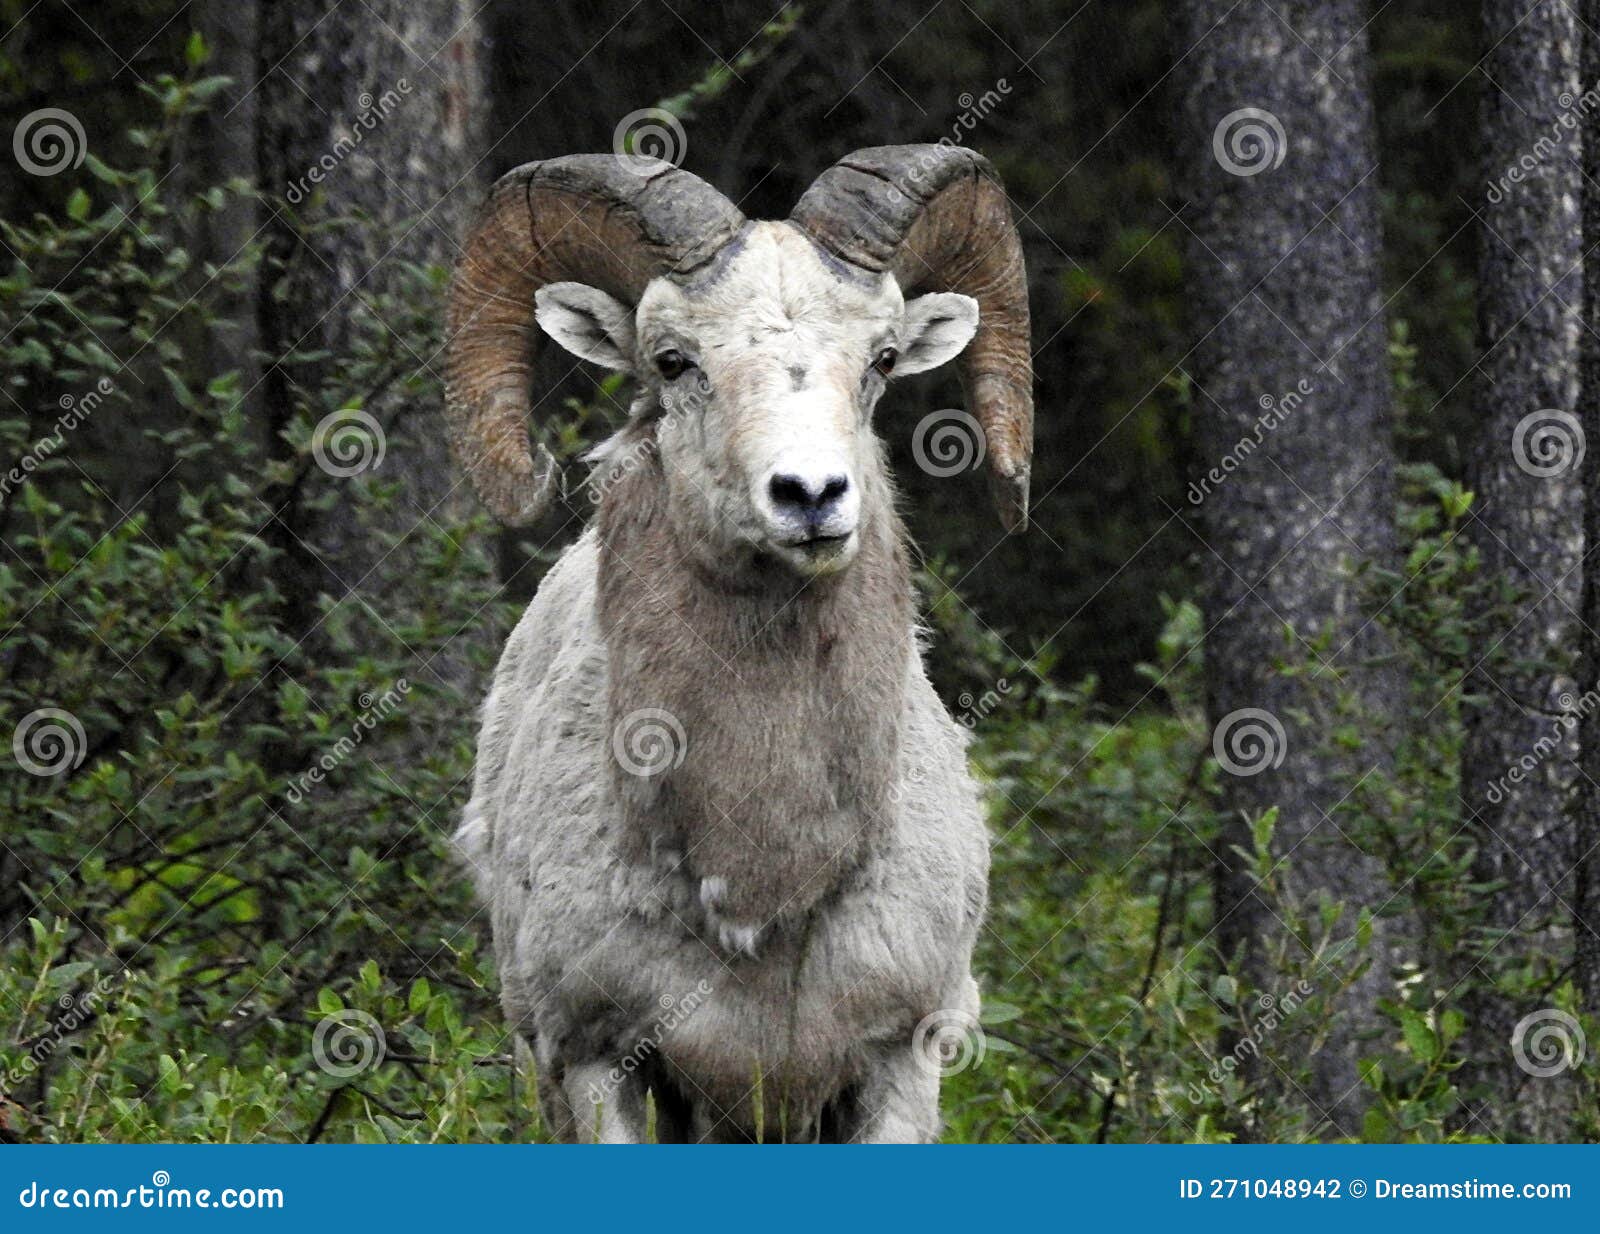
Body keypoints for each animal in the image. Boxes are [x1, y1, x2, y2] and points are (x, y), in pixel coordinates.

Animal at [444, 146, 1033, 1142]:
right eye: (673, 360)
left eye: (881, 360)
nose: (811, 496)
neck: (763, 891)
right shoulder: (597, 1059)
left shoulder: (900, 1057)